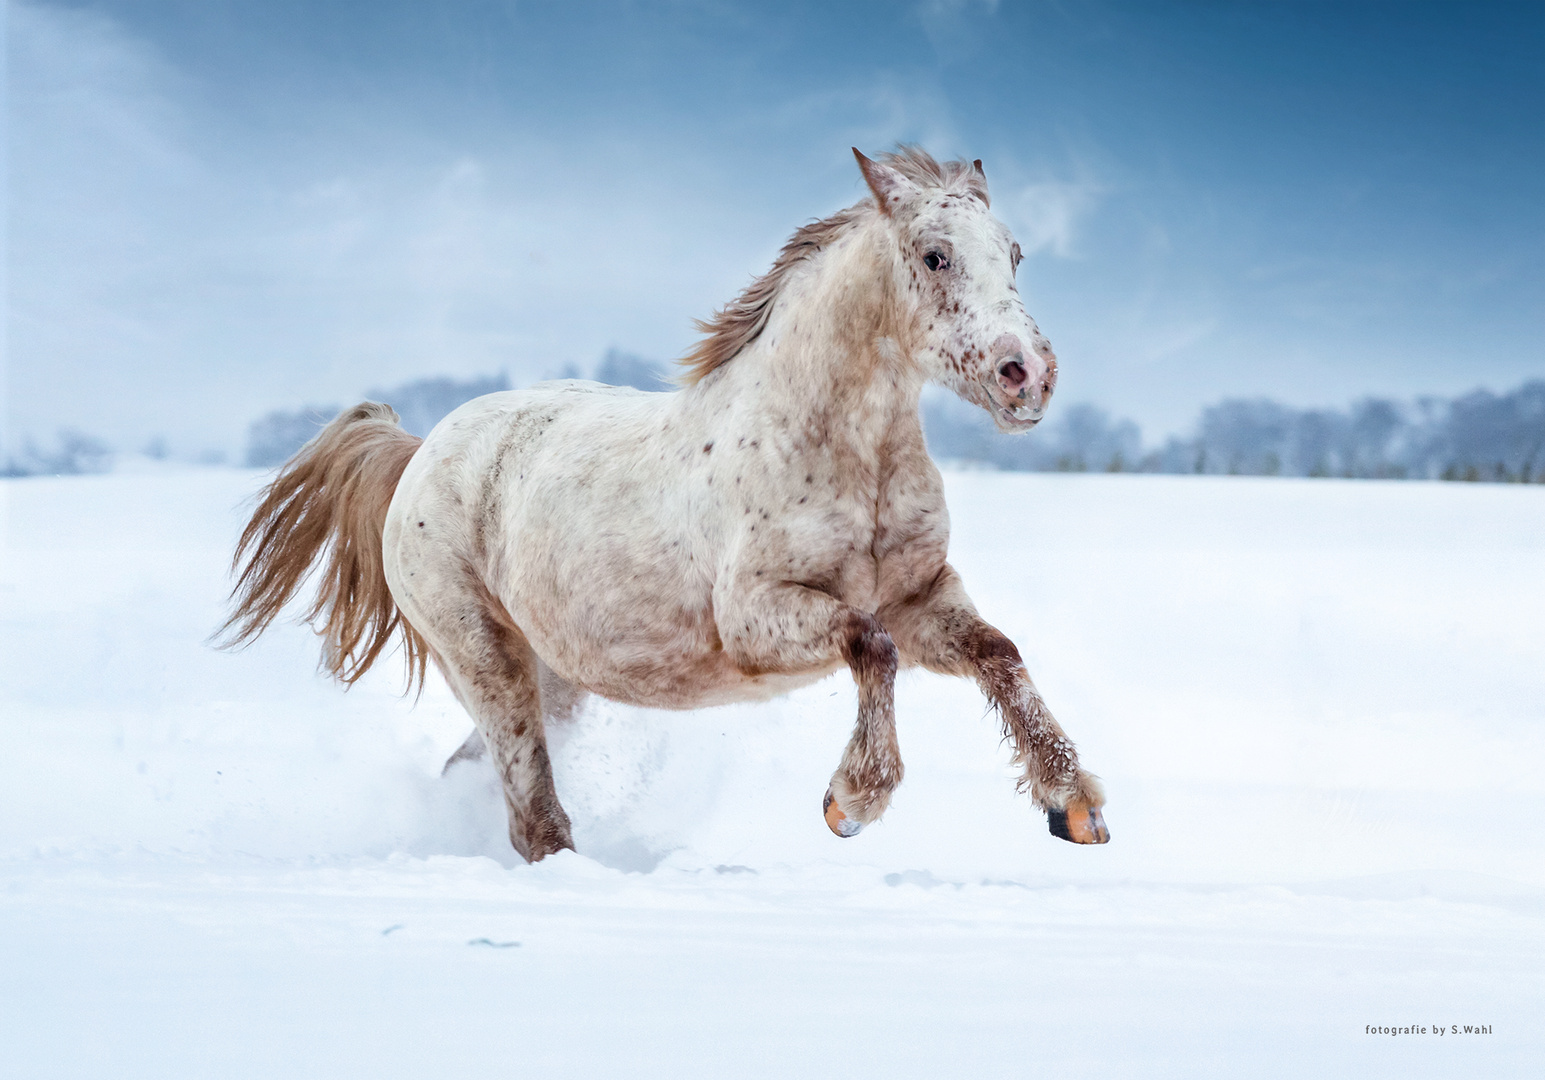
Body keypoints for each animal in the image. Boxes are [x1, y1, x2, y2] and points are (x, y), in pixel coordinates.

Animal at [220, 147, 1112, 865]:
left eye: (1014, 254)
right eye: (934, 256)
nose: (1026, 376)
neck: (843, 457)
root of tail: (422, 452)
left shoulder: (922, 598)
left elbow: (998, 654)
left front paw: (1072, 805)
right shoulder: (757, 620)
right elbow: (872, 647)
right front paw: (853, 800)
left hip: (555, 677)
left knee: (474, 773)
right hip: (483, 656)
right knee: (532, 814)